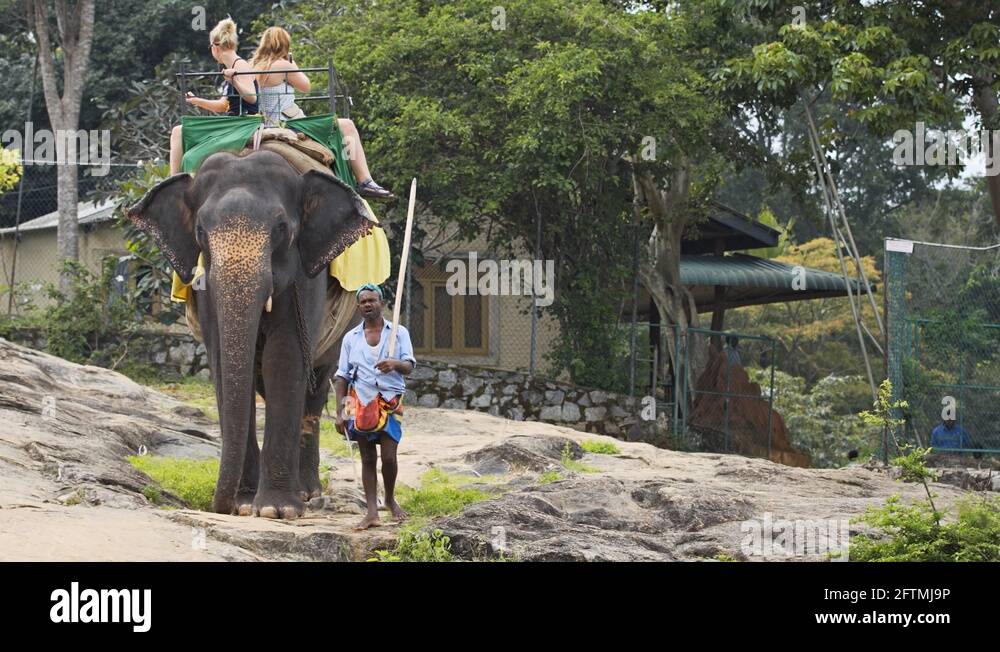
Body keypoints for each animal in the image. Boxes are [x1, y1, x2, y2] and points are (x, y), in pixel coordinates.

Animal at [127, 149, 372, 519]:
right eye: (200, 231)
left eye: (282, 228)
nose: (220, 505)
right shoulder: (204, 286)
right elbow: (220, 359)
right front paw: (244, 505)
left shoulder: (306, 277)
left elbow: (282, 358)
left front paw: (276, 510)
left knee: (315, 388)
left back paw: (307, 492)